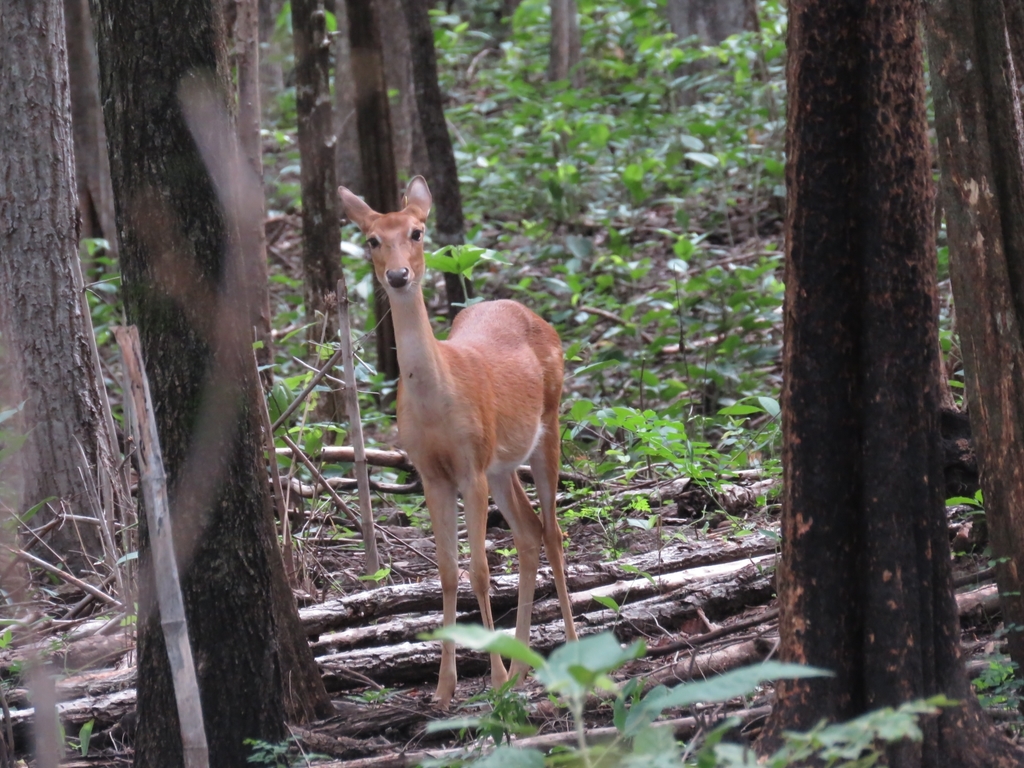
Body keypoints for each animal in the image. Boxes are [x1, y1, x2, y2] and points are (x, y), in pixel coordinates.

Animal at [338, 176, 578, 708]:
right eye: (372, 239)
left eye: (417, 232)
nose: (399, 275)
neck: (438, 400)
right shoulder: (431, 473)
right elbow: (448, 571)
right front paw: (445, 689)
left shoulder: (470, 466)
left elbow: (480, 570)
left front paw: (492, 679)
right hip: (501, 464)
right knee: (528, 532)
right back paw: (522, 668)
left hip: (547, 426)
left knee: (553, 533)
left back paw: (570, 651)